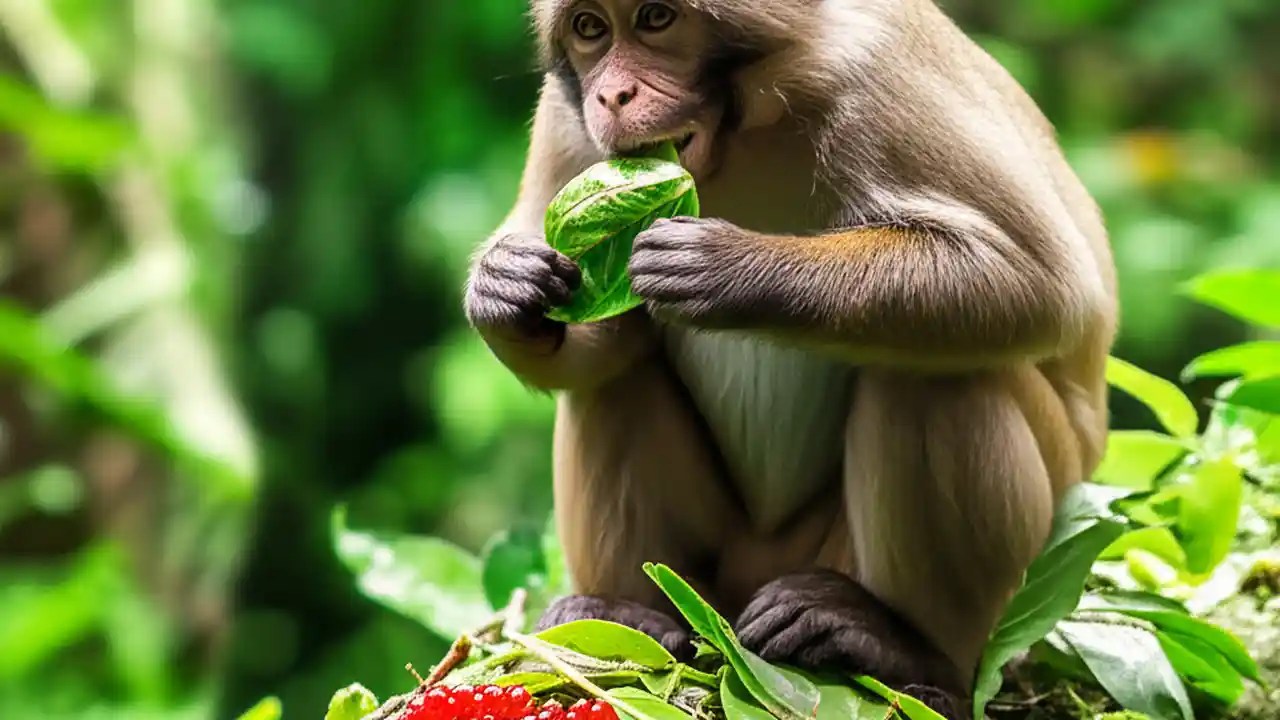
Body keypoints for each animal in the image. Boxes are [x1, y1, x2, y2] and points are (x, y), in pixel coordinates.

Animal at [463, 1, 1116, 716]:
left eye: (656, 19)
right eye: (591, 31)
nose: (612, 95)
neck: (742, 131)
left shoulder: (875, 79)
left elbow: (1045, 284)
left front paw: (732, 271)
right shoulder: (567, 124)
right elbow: (601, 334)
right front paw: (506, 287)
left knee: (938, 374)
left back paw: (900, 645)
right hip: (721, 571)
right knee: (615, 380)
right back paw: (627, 615)